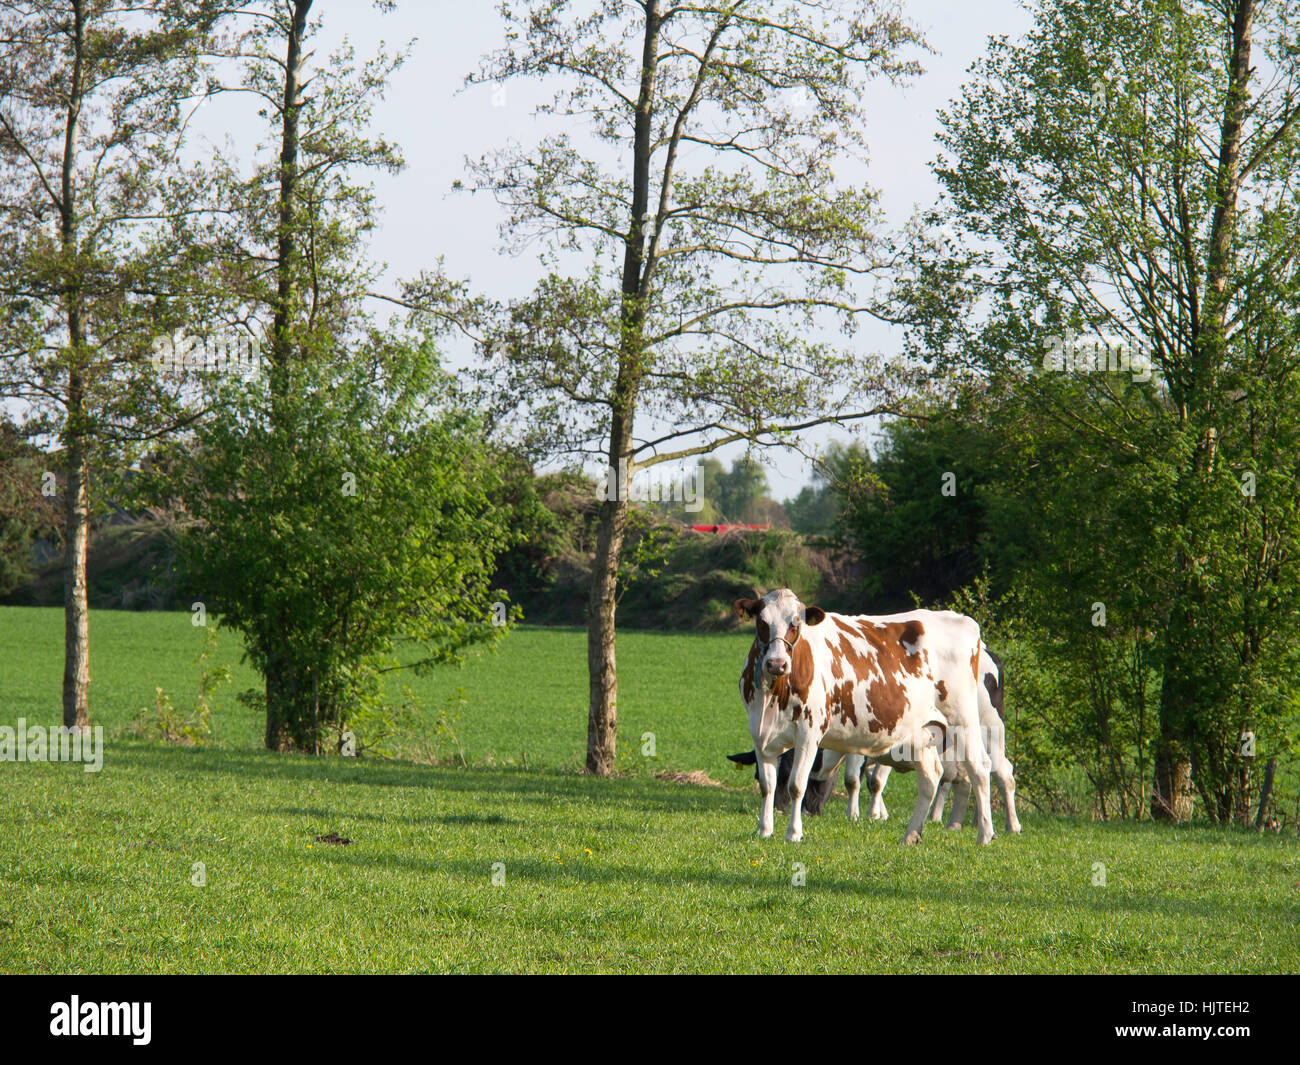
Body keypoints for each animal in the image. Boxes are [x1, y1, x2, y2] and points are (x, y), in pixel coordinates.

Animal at [735, 588, 996, 845]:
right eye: (762, 622)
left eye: (795, 624)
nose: (776, 663)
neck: (774, 696)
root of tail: (961, 619)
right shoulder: (760, 733)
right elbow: (767, 786)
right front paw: (764, 830)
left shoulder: (809, 733)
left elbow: (797, 785)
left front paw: (793, 833)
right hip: (921, 733)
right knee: (931, 777)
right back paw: (911, 834)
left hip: (963, 720)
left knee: (979, 768)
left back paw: (985, 834)